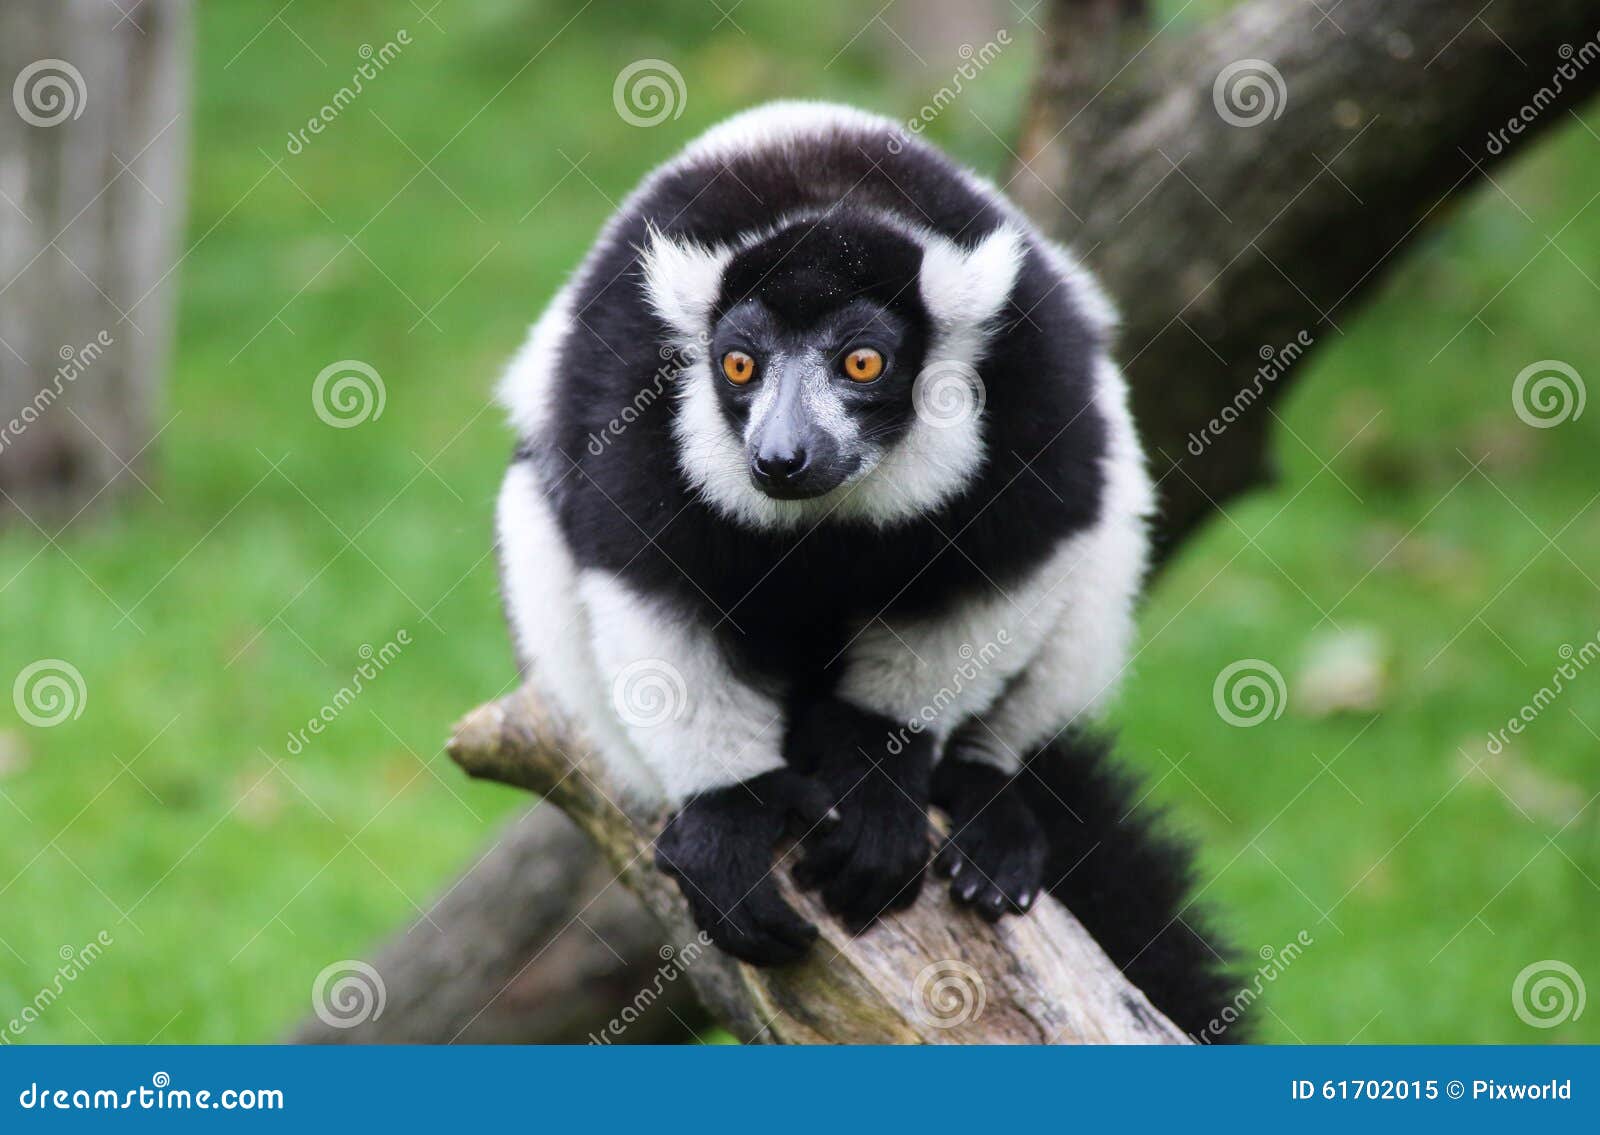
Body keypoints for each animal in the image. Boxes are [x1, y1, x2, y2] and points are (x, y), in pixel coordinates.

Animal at [495, 102, 1240, 1038]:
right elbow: (648, 573)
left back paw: (986, 795)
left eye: (861, 363)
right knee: (538, 508)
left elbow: (1022, 543)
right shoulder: (628, 387)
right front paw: (729, 819)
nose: (780, 457)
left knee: (1099, 531)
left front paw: (880, 779)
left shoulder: (1033, 375)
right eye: (738, 365)